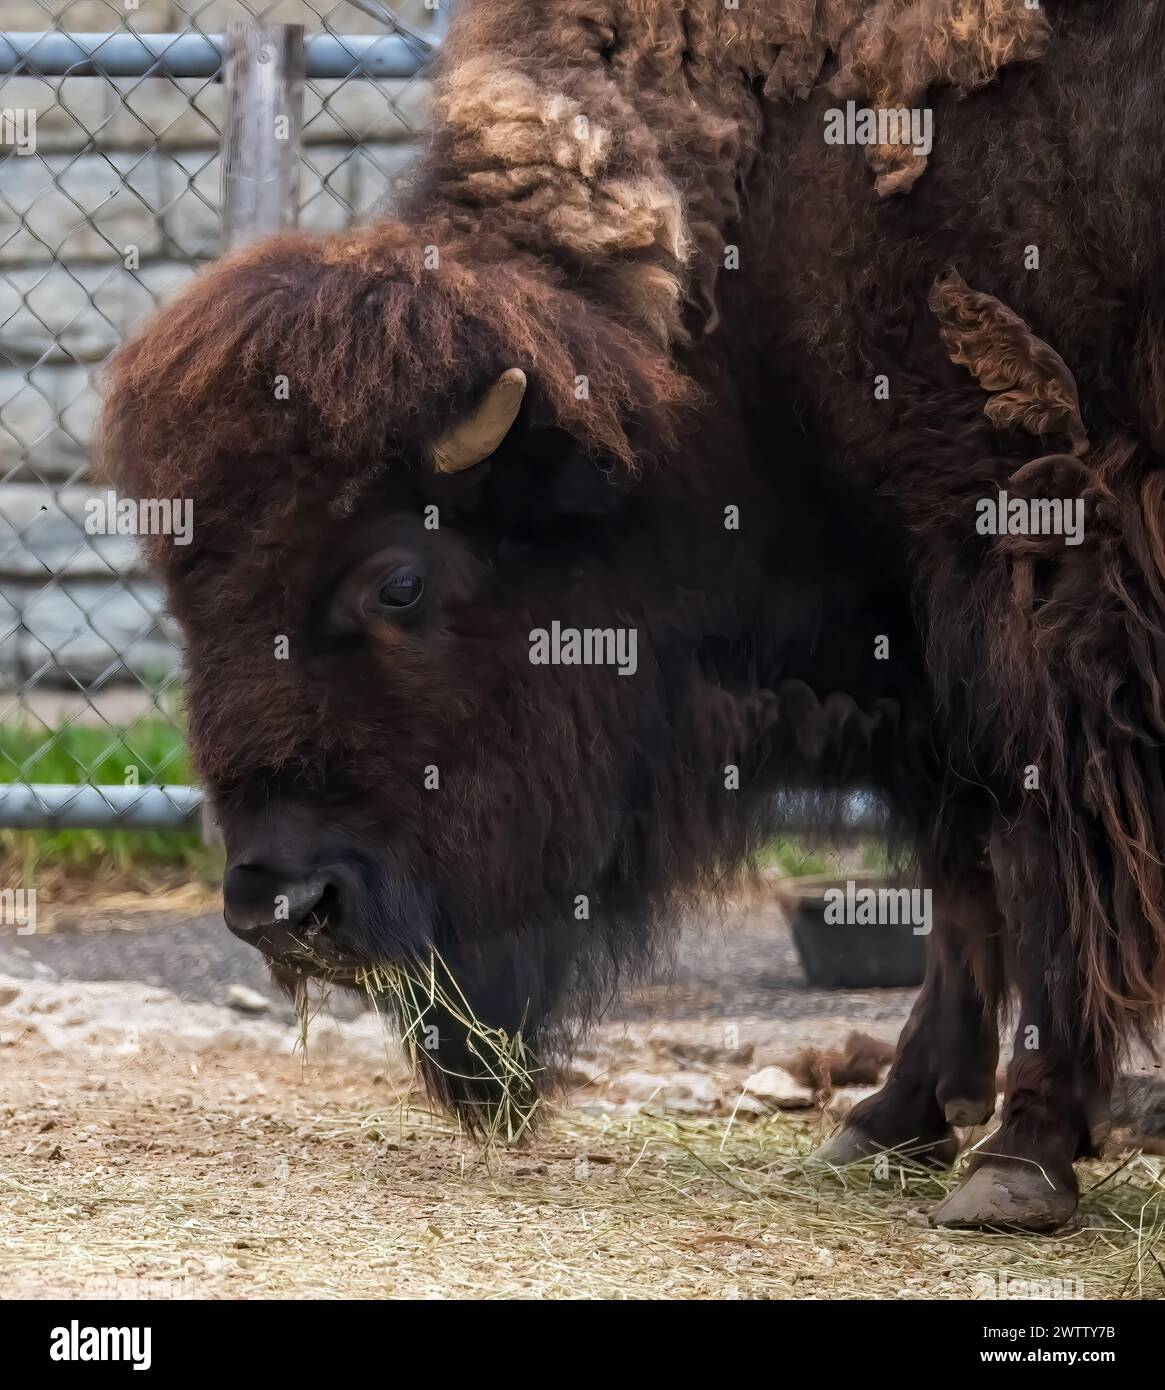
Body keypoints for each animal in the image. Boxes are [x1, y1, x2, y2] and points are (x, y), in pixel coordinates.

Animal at [102, 0, 1165, 1231]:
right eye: (189, 595)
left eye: (398, 581)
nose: (277, 907)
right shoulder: (915, 643)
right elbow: (958, 875)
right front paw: (887, 1120)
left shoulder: (1029, 577)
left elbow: (1039, 851)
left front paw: (1017, 1156)